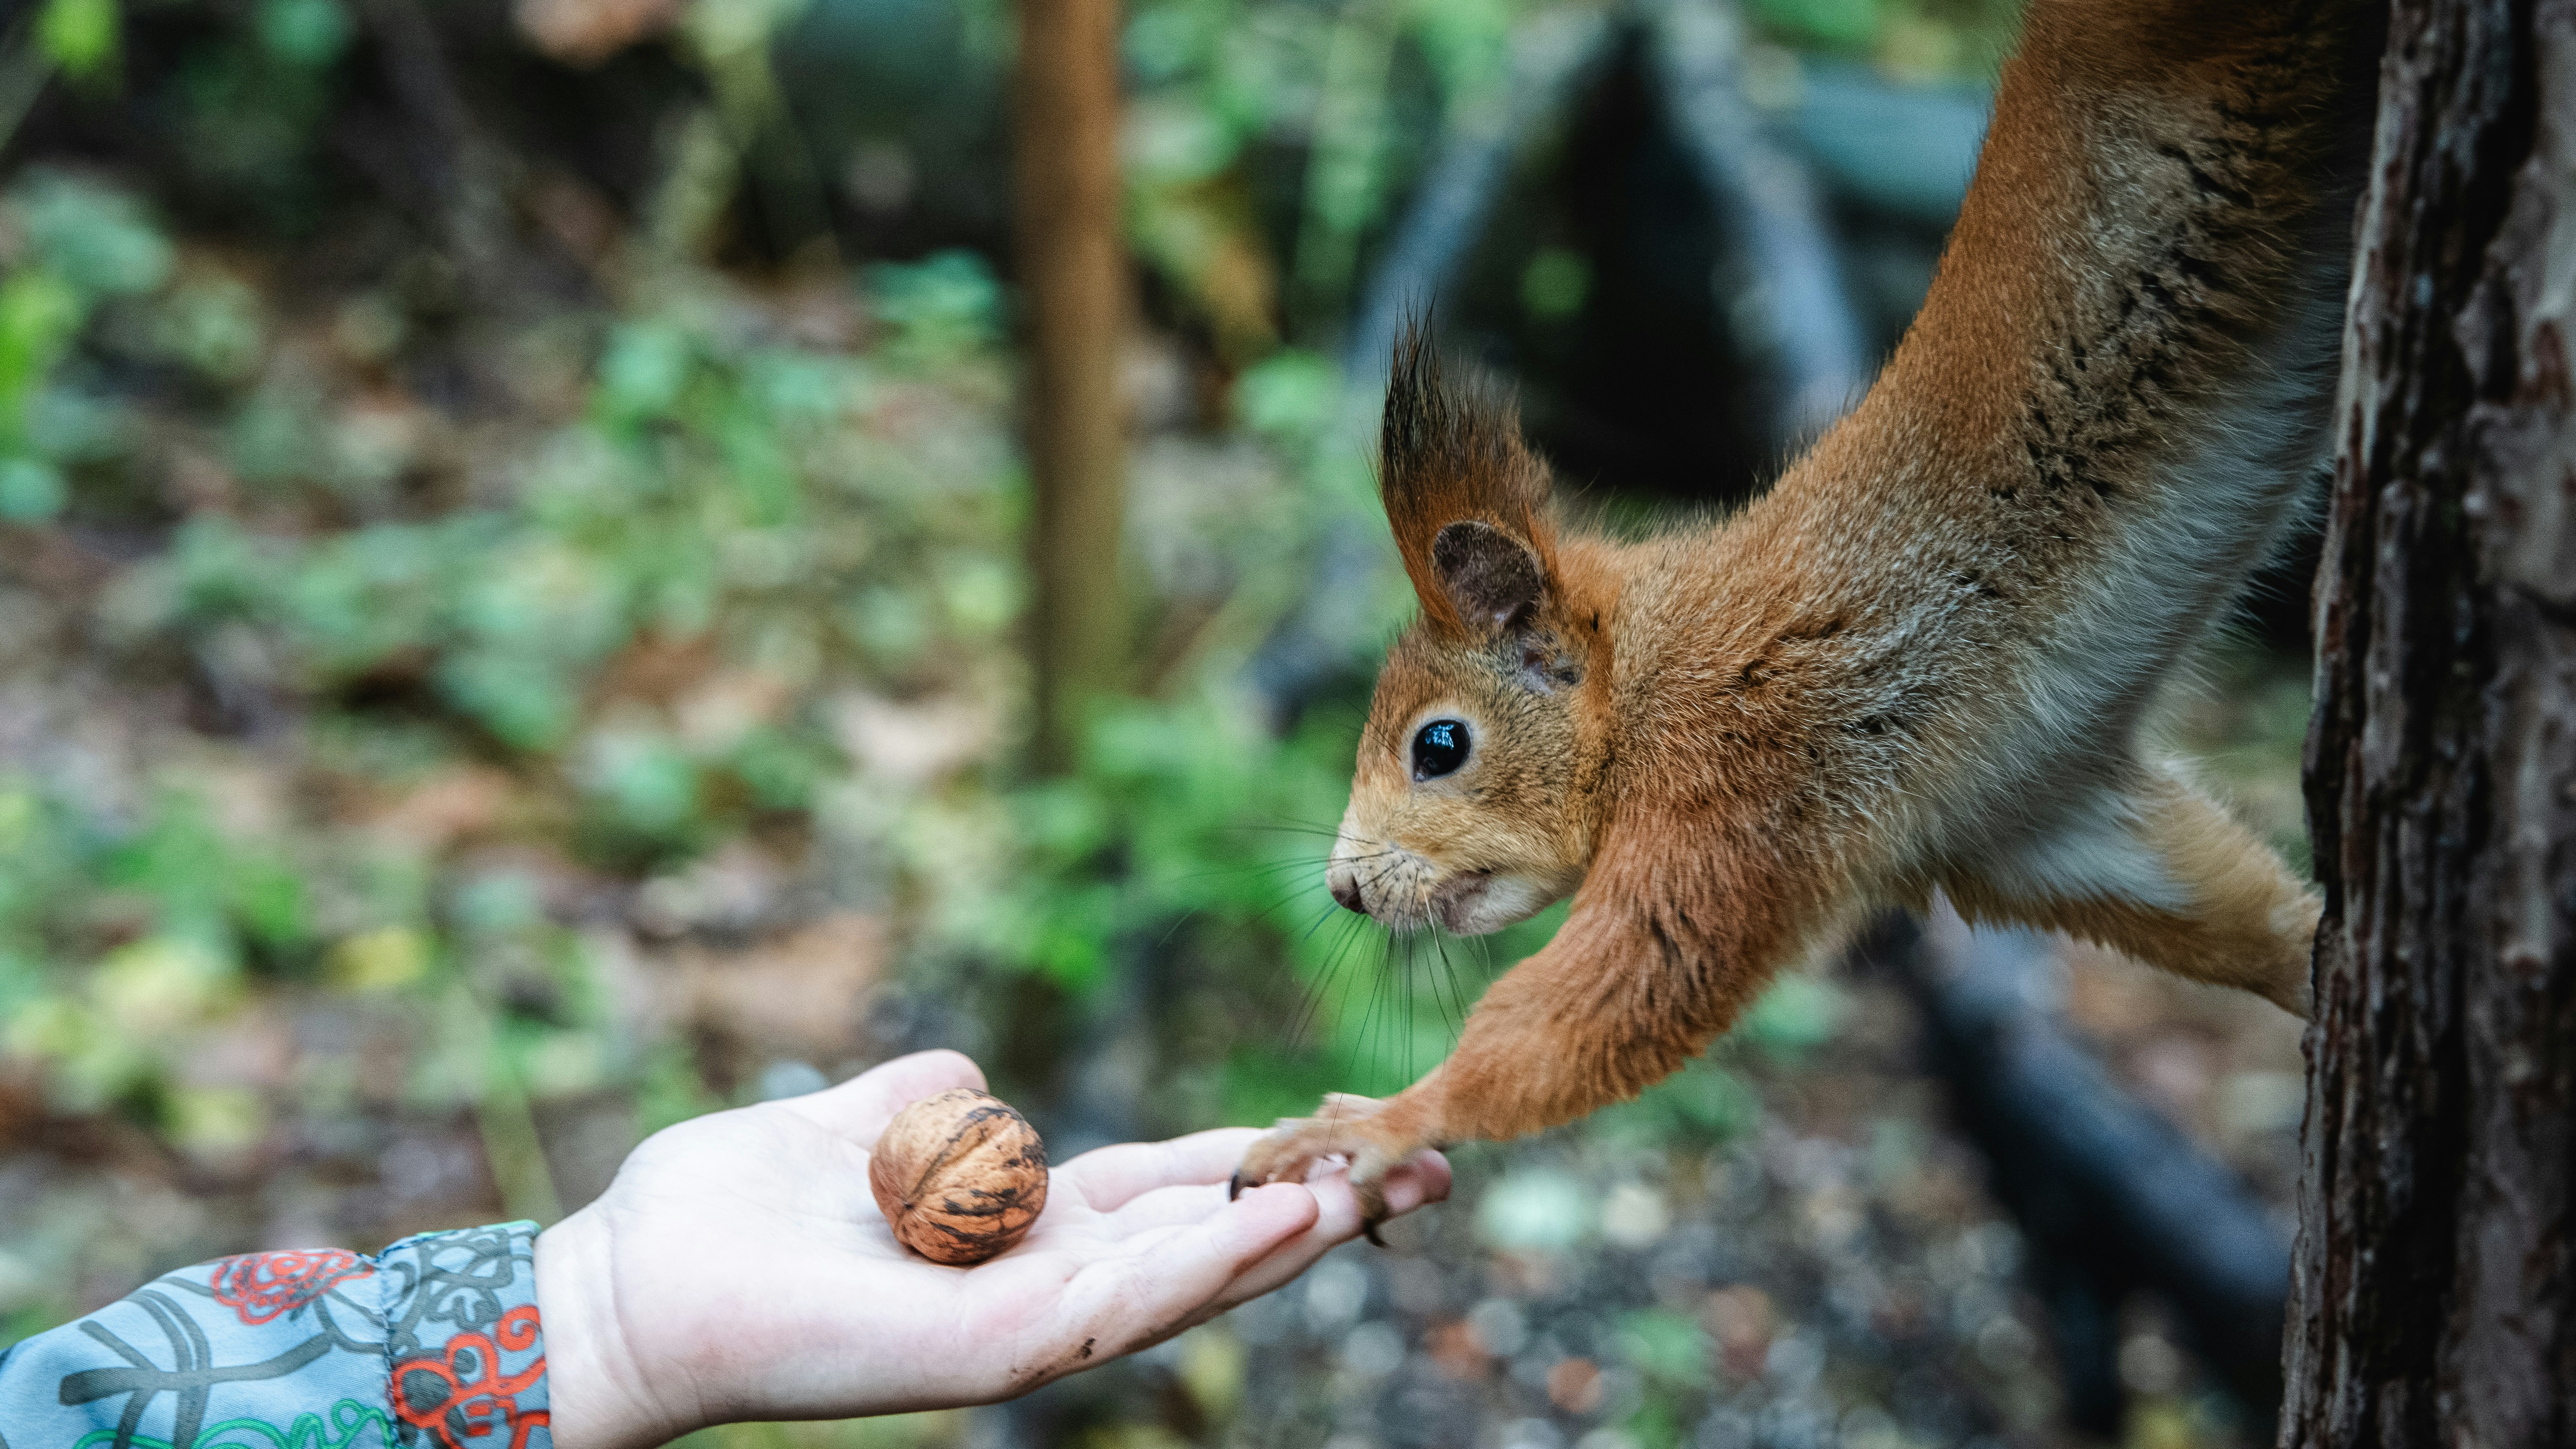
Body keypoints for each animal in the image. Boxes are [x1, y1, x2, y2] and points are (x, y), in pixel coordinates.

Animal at [1237, 0, 2371, 1217]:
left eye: (1439, 746)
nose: (1345, 888)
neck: (1646, 680)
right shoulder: (2029, 816)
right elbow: (2227, 907)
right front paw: (2315, 954)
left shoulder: (1746, 774)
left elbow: (1618, 997)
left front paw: (1375, 1124)